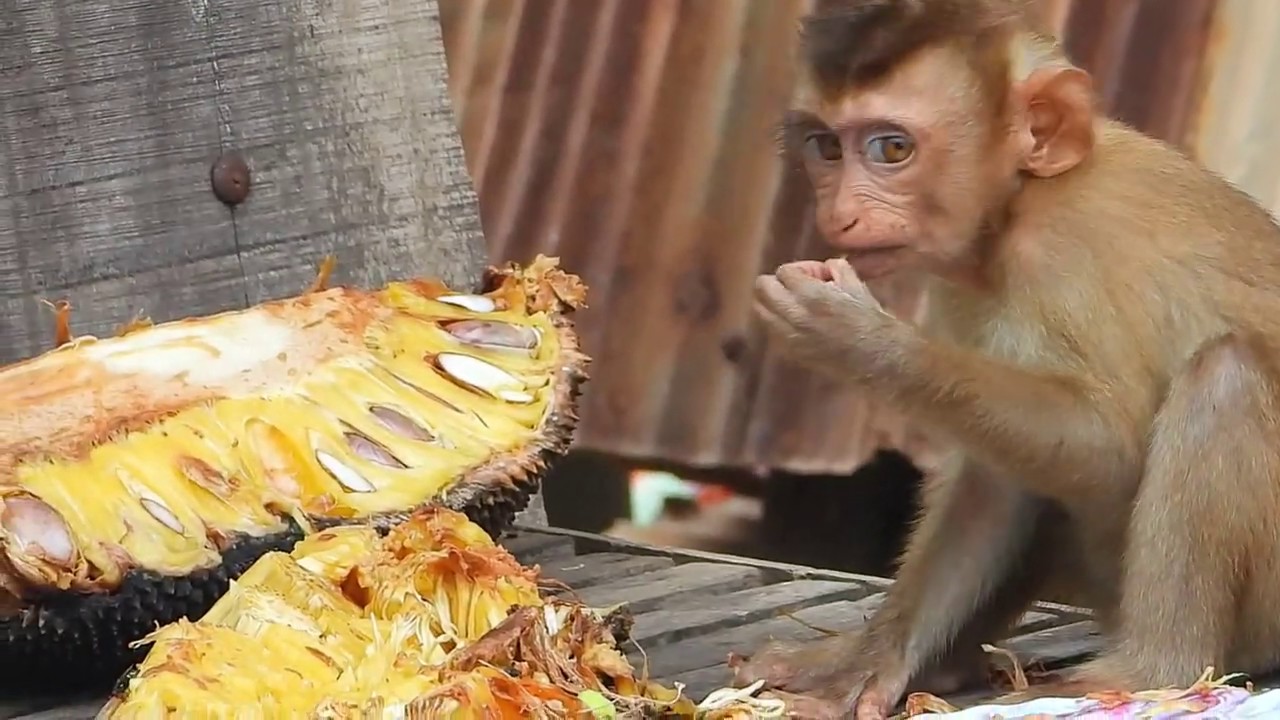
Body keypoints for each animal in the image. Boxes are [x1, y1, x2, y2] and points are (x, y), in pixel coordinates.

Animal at [730, 1, 1280, 718]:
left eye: (892, 148)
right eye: (826, 146)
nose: (840, 213)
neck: (1017, 203)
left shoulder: (1059, 257)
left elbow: (1110, 444)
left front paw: (857, 340)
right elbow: (994, 476)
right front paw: (860, 661)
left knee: (1226, 377)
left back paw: (1153, 667)